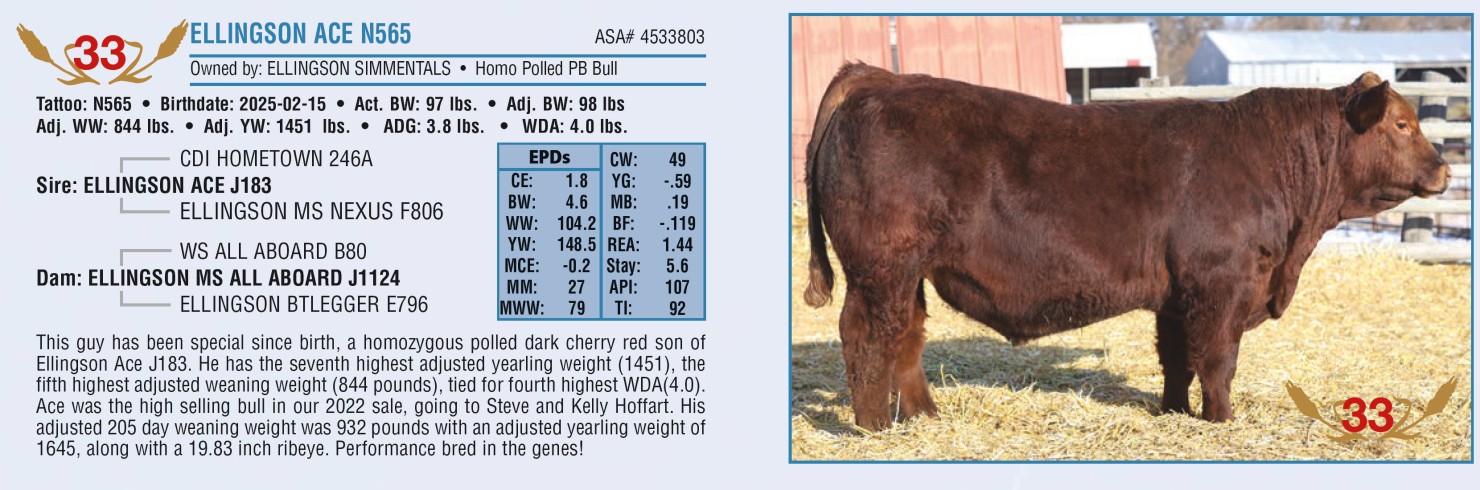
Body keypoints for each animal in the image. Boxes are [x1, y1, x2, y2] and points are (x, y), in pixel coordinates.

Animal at [802, 62, 1451, 430]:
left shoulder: (1179, 295)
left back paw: (924, 418)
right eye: (1401, 125)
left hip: (908, 271)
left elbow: (1178, 359)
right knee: (868, 335)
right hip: (880, 268)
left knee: (907, 336)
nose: (1444, 169)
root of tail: (881, 79)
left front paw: (1175, 413)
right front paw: (1221, 421)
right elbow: (1218, 360)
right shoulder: (1222, 284)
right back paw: (872, 427)